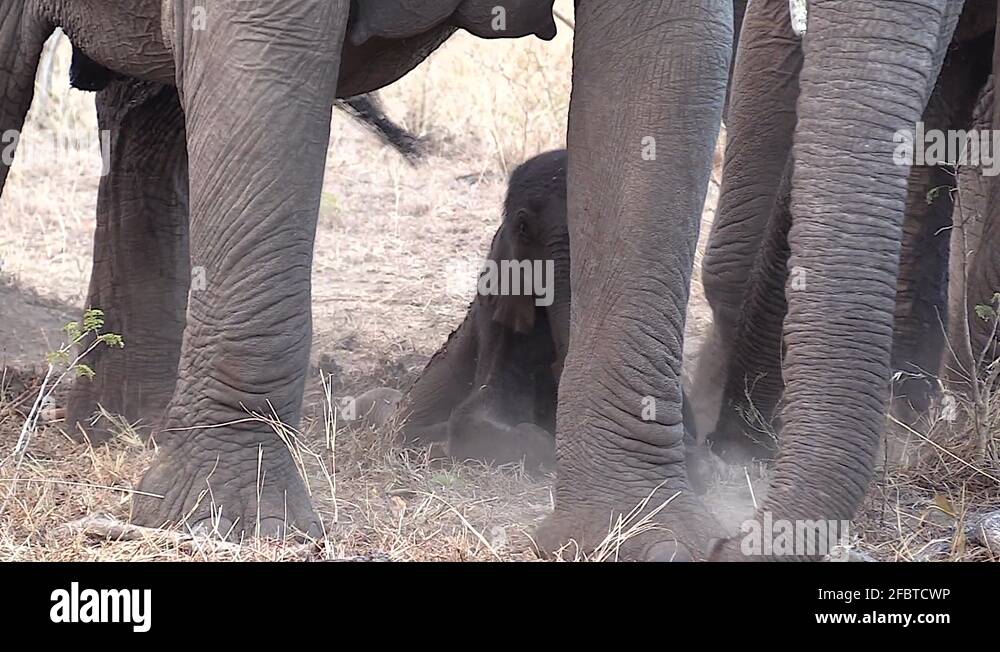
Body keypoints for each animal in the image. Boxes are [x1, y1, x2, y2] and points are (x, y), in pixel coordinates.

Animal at [4, 0, 971, 561]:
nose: (745, 541)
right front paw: (230, 526)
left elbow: (667, 50)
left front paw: (642, 536)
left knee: (144, 104)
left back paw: (119, 427)